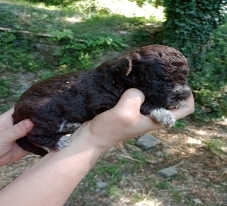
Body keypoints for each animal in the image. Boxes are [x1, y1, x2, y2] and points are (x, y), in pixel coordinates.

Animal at [12, 44, 192, 156]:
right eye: (158, 79)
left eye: (185, 76)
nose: (184, 95)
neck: (119, 79)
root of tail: (15, 111)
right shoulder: (102, 104)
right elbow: (144, 103)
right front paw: (163, 113)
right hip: (47, 112)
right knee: (35, 134)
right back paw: (60, 141)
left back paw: (72, 125)